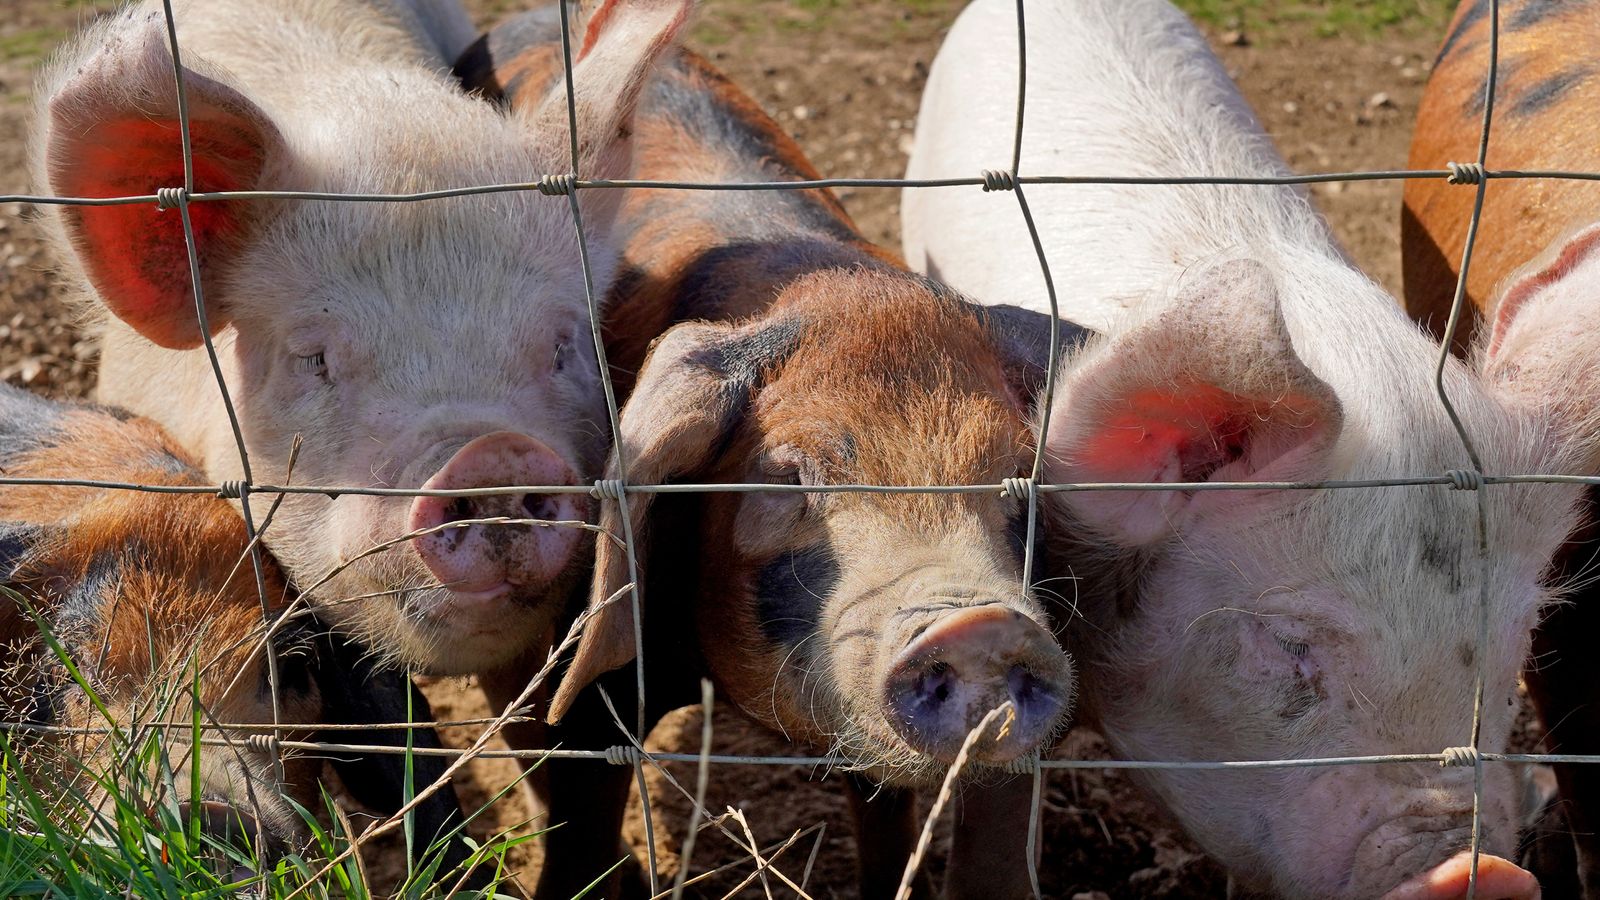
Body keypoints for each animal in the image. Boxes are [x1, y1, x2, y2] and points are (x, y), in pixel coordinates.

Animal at [456, 6, 1078, 898]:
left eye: (1018, 481)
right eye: (788, 474)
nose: (981, 623)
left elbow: (888, 822)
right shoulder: (595, 674)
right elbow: (575, 822)